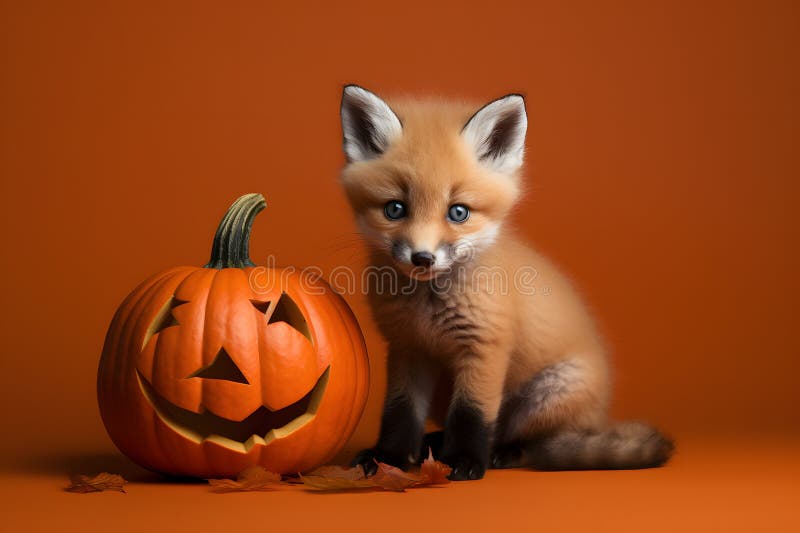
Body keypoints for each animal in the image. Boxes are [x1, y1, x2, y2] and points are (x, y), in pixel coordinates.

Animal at [337, 85, 673, 480]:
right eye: (395, 209)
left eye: (458, 212)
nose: (422, 258)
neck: (427, 306)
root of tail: (597, 417)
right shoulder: (408, 348)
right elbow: (399, 413)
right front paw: (388, 458)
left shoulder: (485, 348)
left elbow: (473, 414)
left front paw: (464, 460)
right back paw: (432, 445)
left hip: (544, 397)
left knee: (528, 440)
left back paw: (501, 452)